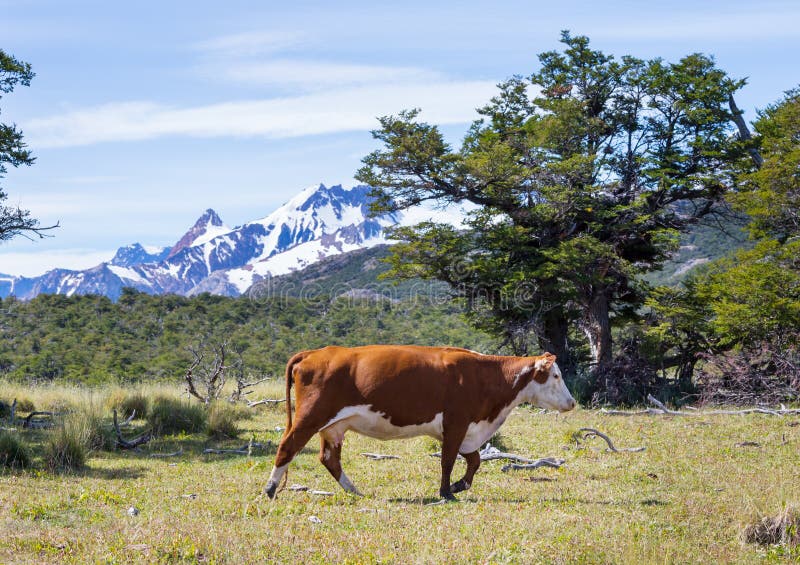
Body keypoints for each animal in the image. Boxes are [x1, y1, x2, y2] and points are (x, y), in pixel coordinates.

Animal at [264, 345, 576, 501]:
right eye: (556, 375)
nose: (572, 403)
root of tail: (316, 352)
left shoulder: (466, 430)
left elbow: (474, 461)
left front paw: (460, 486)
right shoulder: (456, 422)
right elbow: (448, 461)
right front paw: (446, 492)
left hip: (333, 426)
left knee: (330, 458)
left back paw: (354, 491)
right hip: (310, 416)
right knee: (287, 447)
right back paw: (269, 490)